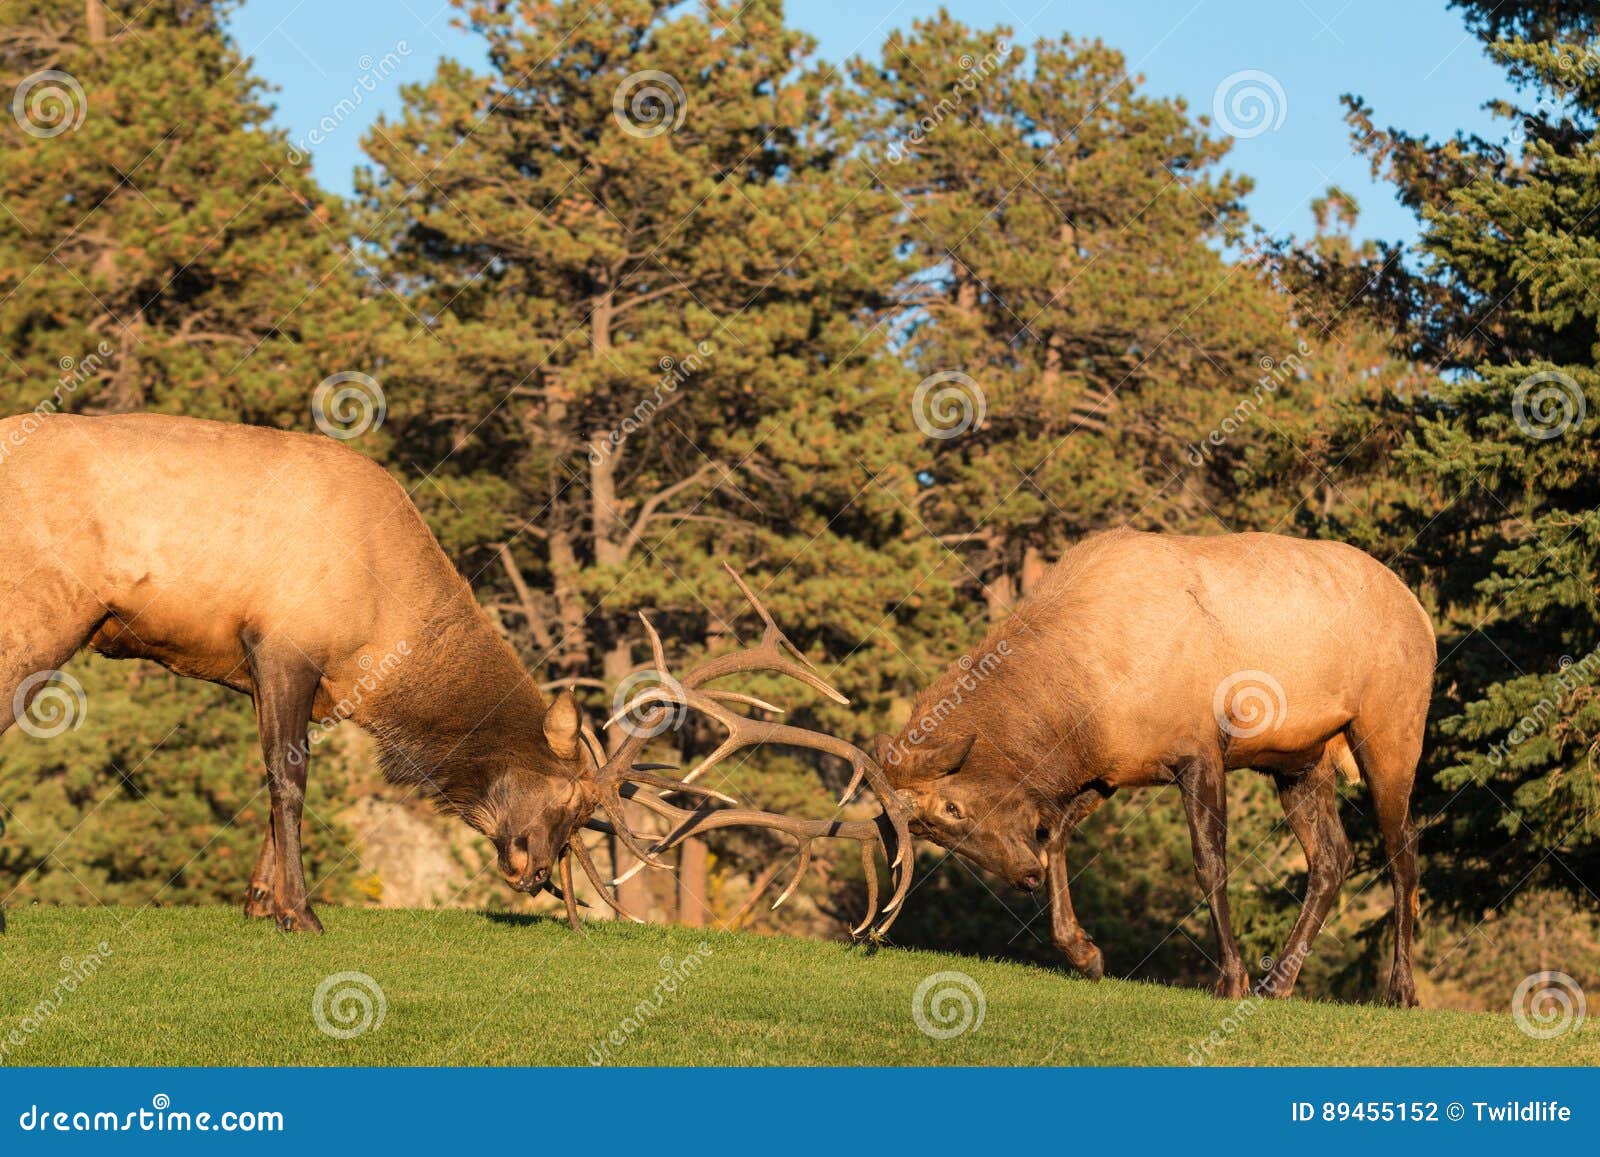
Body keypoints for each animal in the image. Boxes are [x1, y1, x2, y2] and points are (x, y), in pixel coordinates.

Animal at [0, 413, 912, 934]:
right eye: (571, 801)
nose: (535, 874)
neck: (388, 624)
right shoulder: (285, 641)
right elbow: (287, 779)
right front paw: (301, 912)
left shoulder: (285, 675)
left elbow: (275, 784)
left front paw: (260, 899)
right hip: (39, 614)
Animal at [873, 528, 1434, 1006]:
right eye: (932, 835)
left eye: (952, 807)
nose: (1023, 876)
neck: (1078, 709)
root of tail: (1423, 616)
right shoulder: (1108, 772)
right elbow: (1054, 835)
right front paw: (1084, 953)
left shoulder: (1200, 749)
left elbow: (1210, 864)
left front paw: (1230, 978)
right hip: (1301, 761)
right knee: (1333, 857)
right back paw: (1279, 983)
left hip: (1391, 734)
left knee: (1403, 852)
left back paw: (1400, 990)